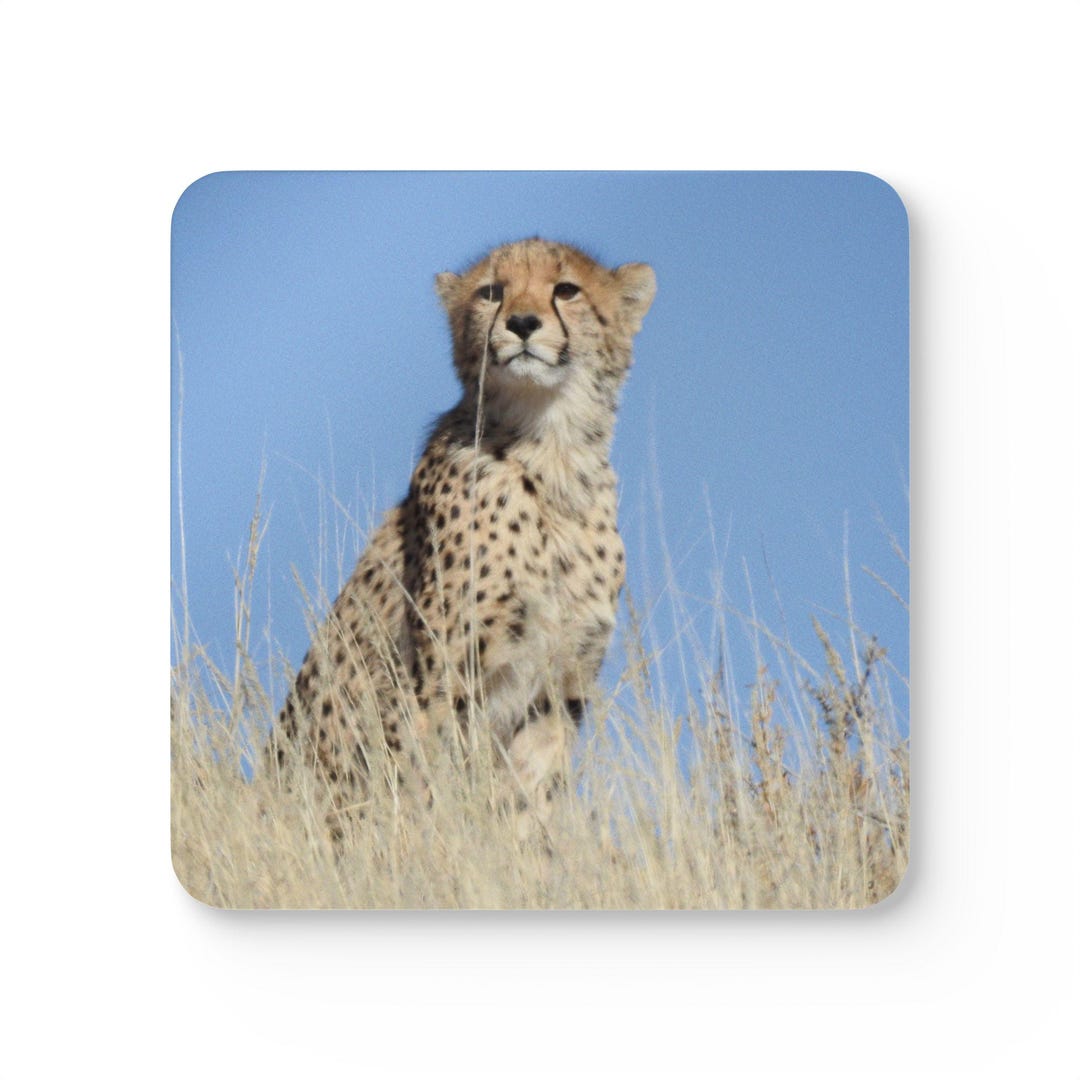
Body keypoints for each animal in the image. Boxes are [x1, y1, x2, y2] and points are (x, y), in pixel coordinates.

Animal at [268, 237, 655, 836]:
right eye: (492, 292)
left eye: (566, 289)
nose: (522, 322)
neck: (551, 453)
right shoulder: (443, 680)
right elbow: (429, 789)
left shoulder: (555, 693)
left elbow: (529, 805)